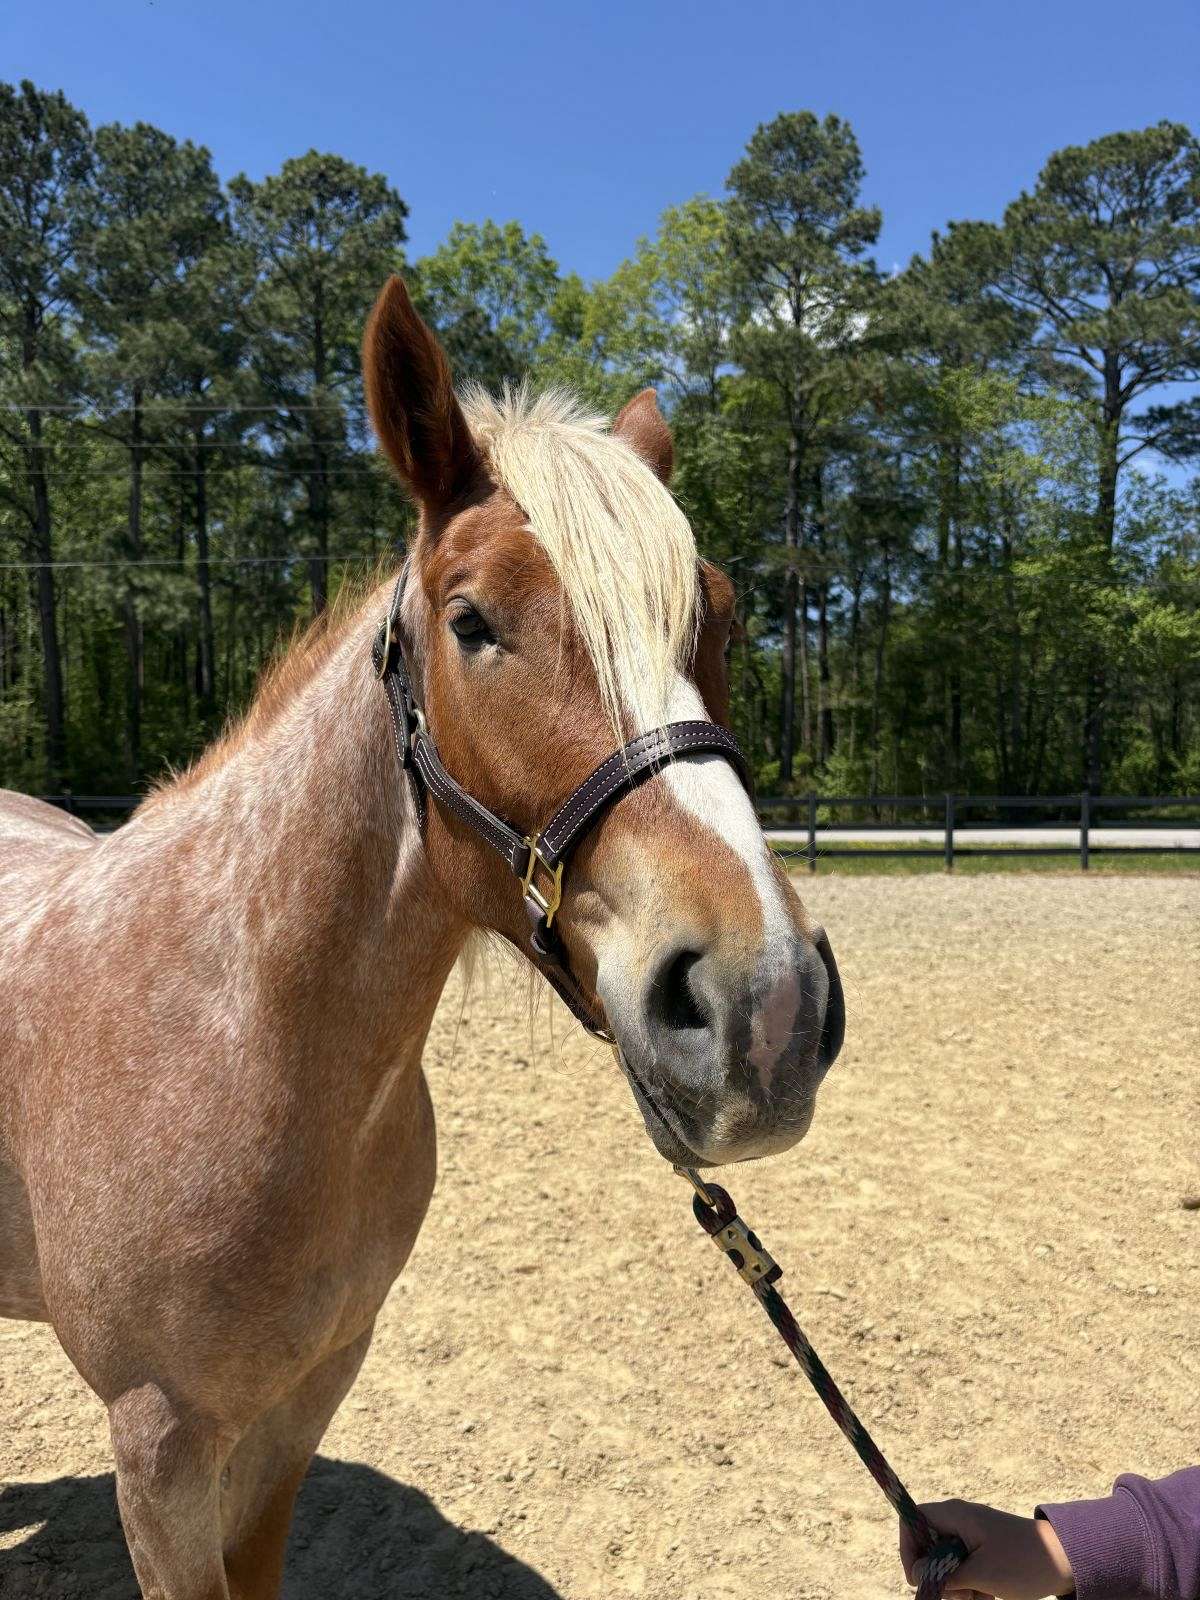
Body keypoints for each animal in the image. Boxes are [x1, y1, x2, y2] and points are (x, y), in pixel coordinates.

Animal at [0, 275, 844, 1599]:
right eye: (471, 621)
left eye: (721, 615)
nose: (766, 1013)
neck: (237, 1045)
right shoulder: (158, 1455)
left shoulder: (301, 1405)